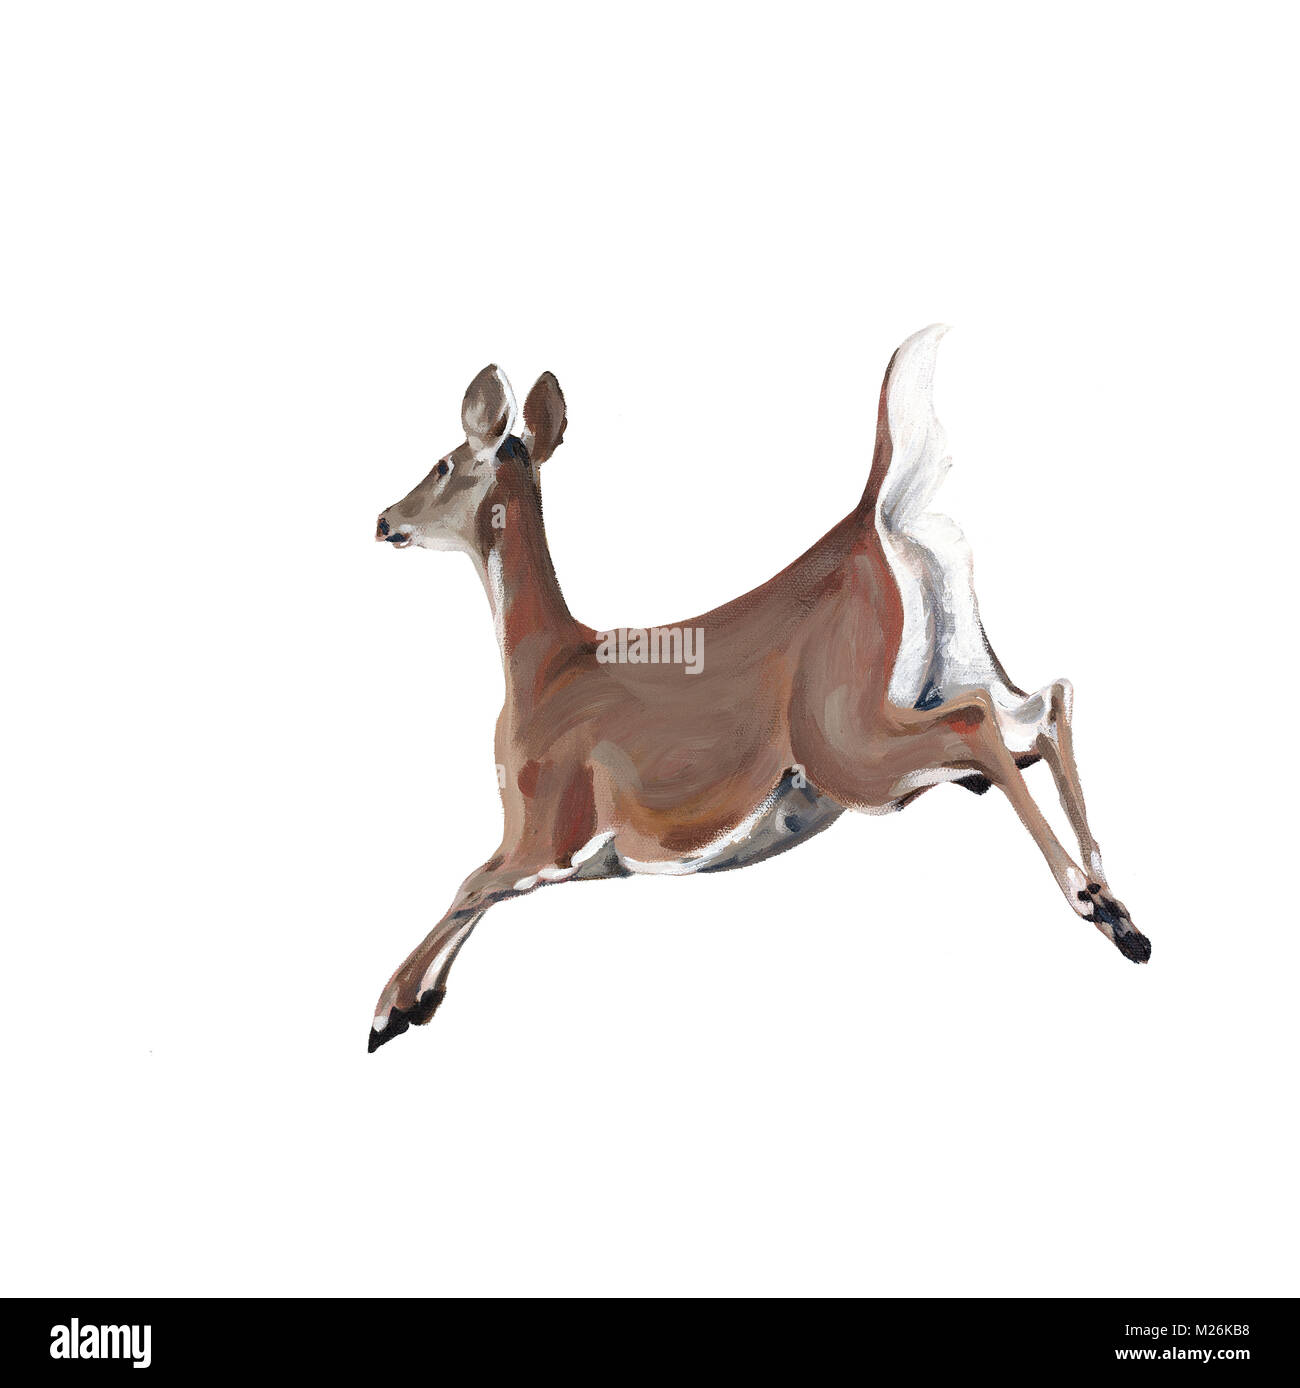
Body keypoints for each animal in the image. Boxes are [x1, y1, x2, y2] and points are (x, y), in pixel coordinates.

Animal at [368, 325, 1148, 1052]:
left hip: (845, 739)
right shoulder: (559, 852)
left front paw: (389, 1011)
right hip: (953, 666)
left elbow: (468, 884)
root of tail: (874, 523)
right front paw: (413, 1004)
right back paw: (1120, 911)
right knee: (1046, 701)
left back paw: (1090, 899)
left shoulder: (546, 828)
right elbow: (473, 892)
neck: (545, 664)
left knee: (983, 721)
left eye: (441, 463)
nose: (384, 520)